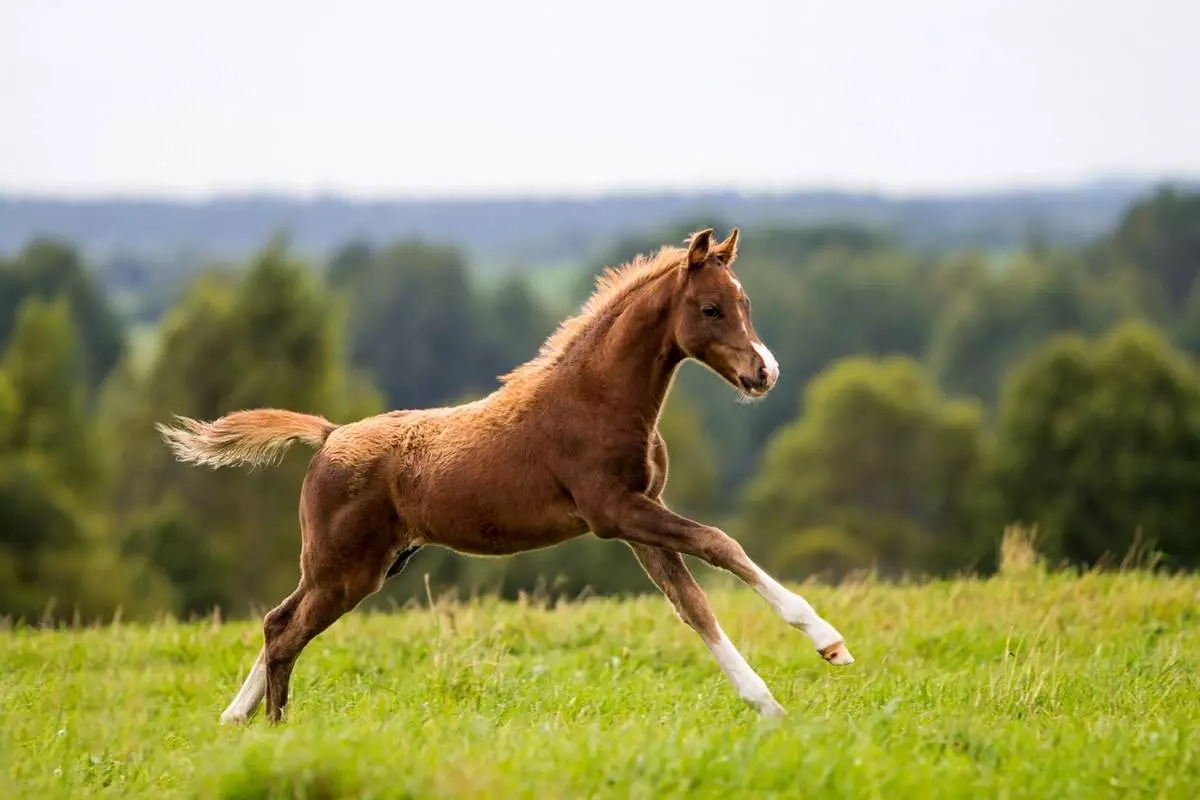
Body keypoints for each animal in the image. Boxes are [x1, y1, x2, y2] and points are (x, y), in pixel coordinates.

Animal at [159, 226, 854, 724]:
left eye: (745, 303)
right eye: (710, 309)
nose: (764, 373)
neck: (596, 397)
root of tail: (330, 434)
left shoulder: (638, 517)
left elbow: (694, 606)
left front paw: (768, 702)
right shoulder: (616, 511)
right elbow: (719, 545)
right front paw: (827, 641)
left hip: (365, 564)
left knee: (279, 620)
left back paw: (234, 718)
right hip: (346, 569)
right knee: (283, 631)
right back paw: (276, 730)